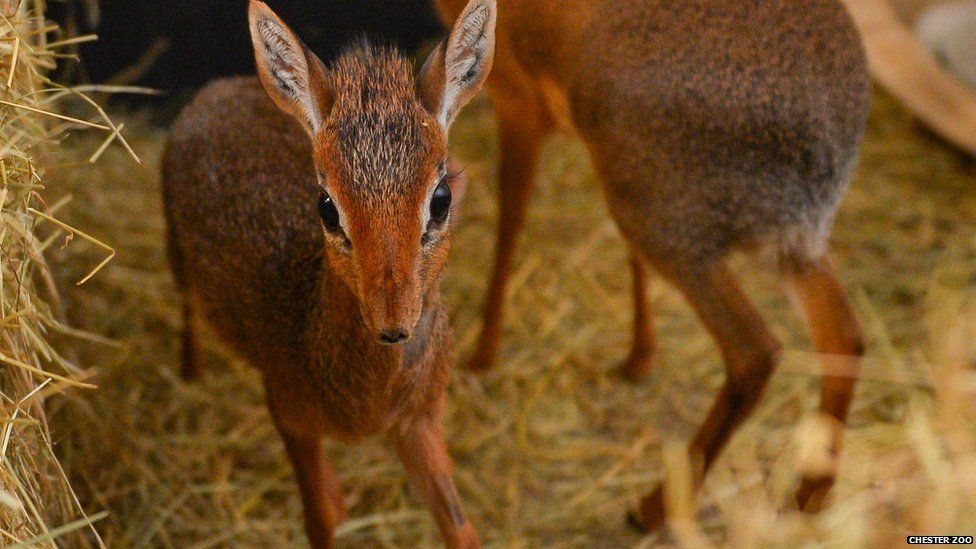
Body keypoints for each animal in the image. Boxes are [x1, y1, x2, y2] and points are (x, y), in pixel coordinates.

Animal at [161, 1, 496, 546]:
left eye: (442, 198)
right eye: (326, 206)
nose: (393, 322)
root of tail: (218, 88)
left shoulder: (421, 422)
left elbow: (460, 526)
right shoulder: (290, 416)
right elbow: (318, 522)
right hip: (176, 259)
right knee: (188, 315)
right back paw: (191, 375)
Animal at [434, 0, 870, 530]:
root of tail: (827, 145)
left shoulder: (517, 99)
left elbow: (509, 220)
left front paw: (481, 354)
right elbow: (629, 261)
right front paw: (639, 356)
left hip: (671, 224)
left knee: (756, 350)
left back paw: (653, 508)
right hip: (780, 240)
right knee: (844, 337)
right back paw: (811, 496)